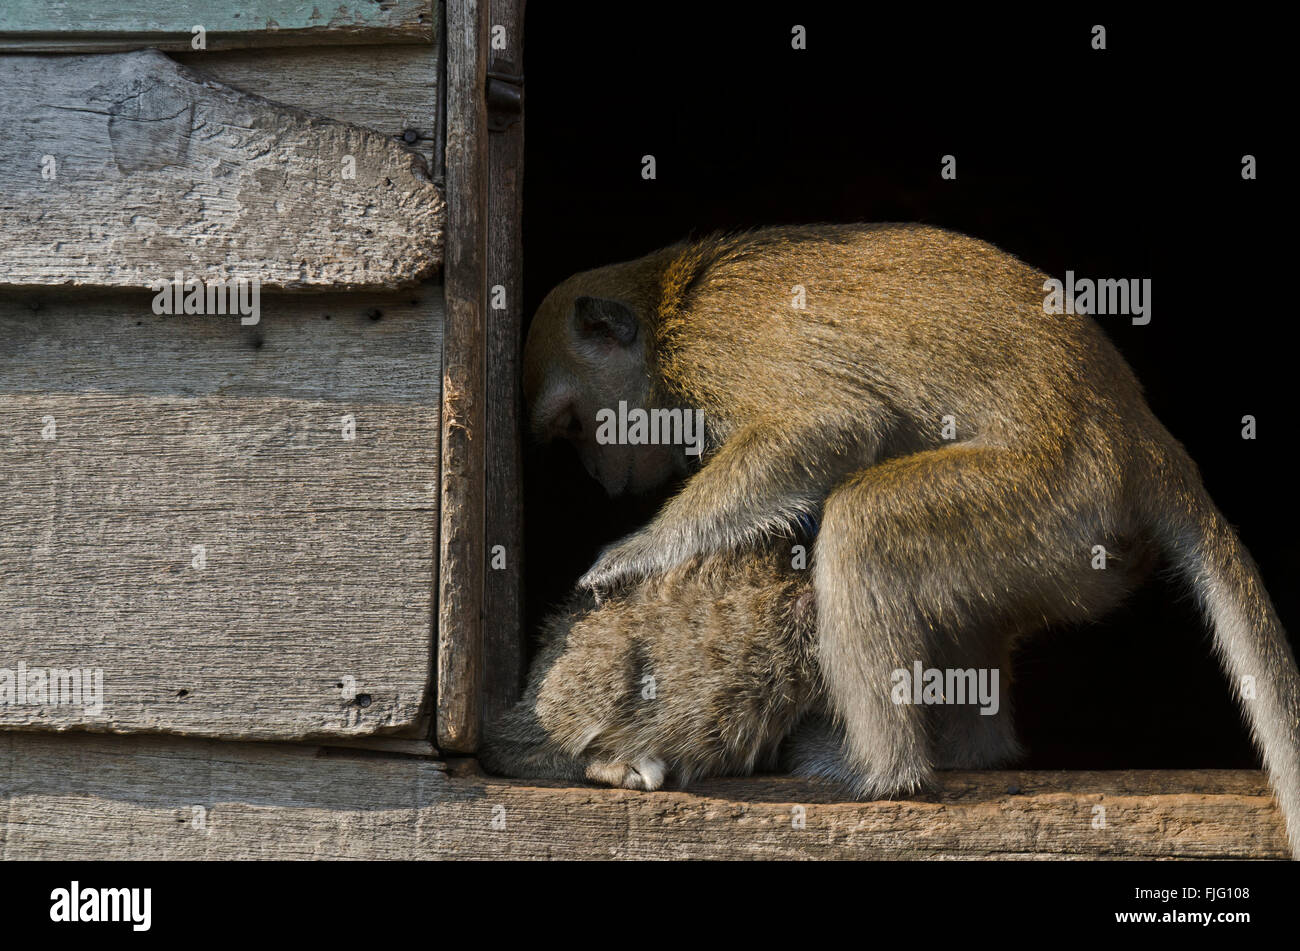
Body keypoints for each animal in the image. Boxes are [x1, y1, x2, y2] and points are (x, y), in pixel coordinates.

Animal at [522, 223, 1300, 857]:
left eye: (575, 425)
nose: (599, 477)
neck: (666, 305)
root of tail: (1138, 431)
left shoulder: (713, 351)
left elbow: (831, 426)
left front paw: (637, 552)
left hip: (1058, 500)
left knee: (863, 526)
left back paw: (880, 772)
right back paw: (968, 750)